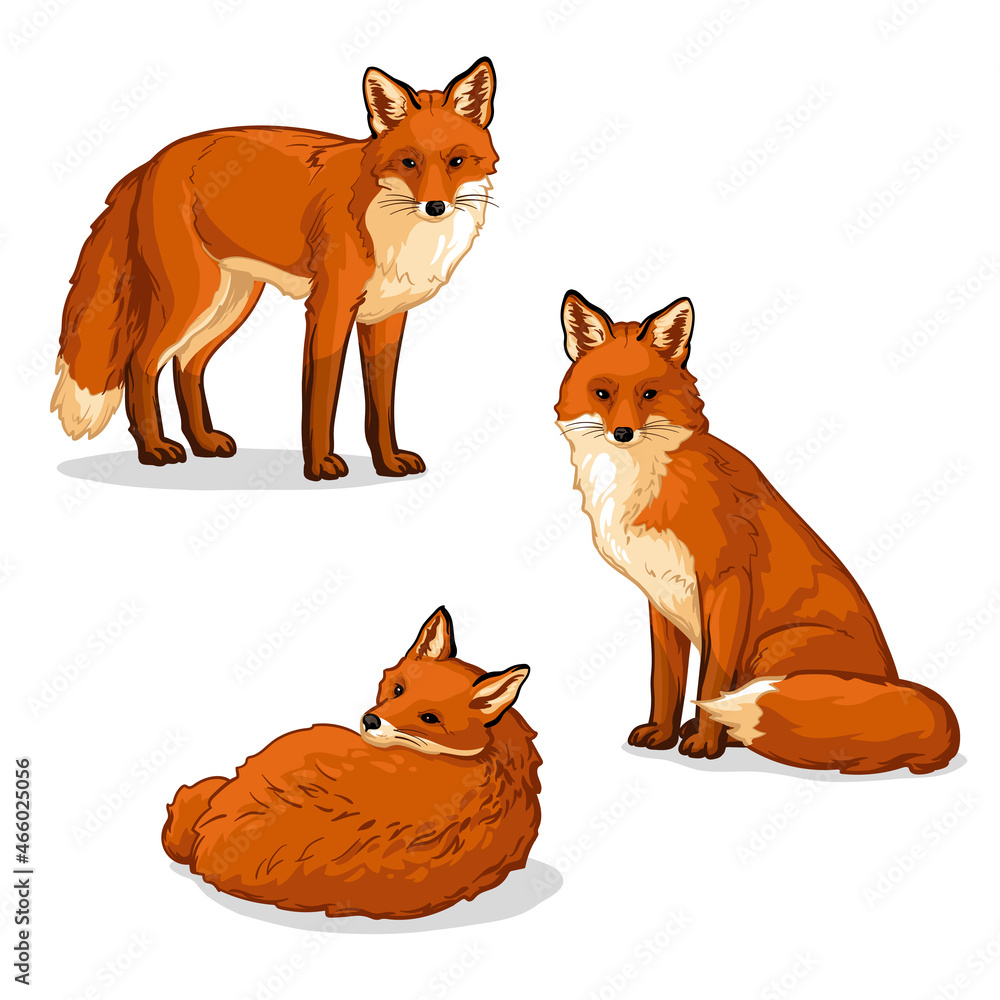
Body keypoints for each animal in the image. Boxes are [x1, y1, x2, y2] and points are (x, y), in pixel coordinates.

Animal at [52, 59, 497, 481]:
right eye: (409, 162)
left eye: (457, 161)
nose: (435, 207)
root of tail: (151, 161)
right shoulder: (330, 307)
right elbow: (321, 396)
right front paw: (319, 466)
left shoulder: (386, 317)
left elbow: (381, 404)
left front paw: (387, 462)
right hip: (192, 297)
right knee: (141, 363)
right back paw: (154, 448)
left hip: (231, 302)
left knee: (187, 363)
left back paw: (203, 442)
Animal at [555, 291, 960, 775]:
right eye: (602, 393)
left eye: (649, 394)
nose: (622, 432)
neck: (645, 482)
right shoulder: (661, 597)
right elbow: (666, 681)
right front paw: (661, 734)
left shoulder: (726, 583)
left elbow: (710, 681)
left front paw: (705, 744)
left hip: (772, 650)